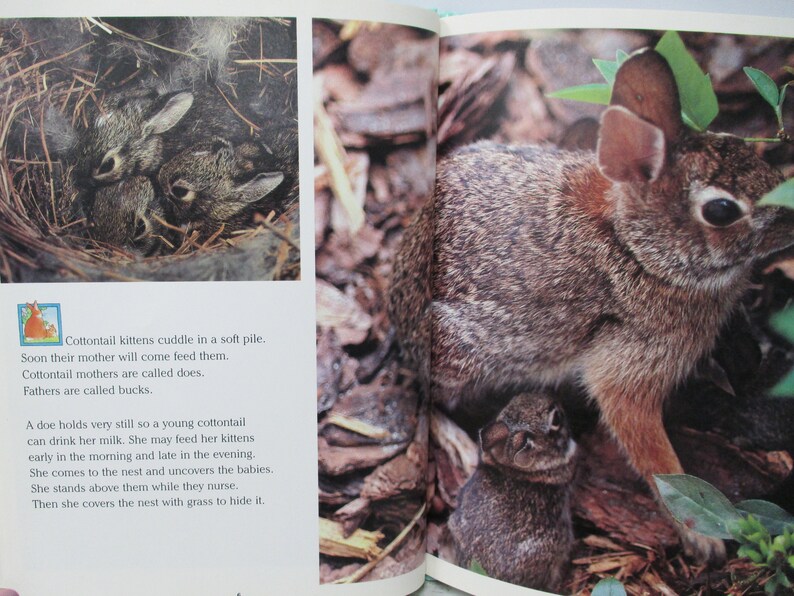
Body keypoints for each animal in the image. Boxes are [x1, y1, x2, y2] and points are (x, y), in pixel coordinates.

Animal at [389, 48, 794, 565]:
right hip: (460, 355)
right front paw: (702, 537)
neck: (639, 249)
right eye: (721, 211)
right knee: (431, 396)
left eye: (738, 143)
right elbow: (655, 457)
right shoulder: (630, 370)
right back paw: (460, 447)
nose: (791, 222)